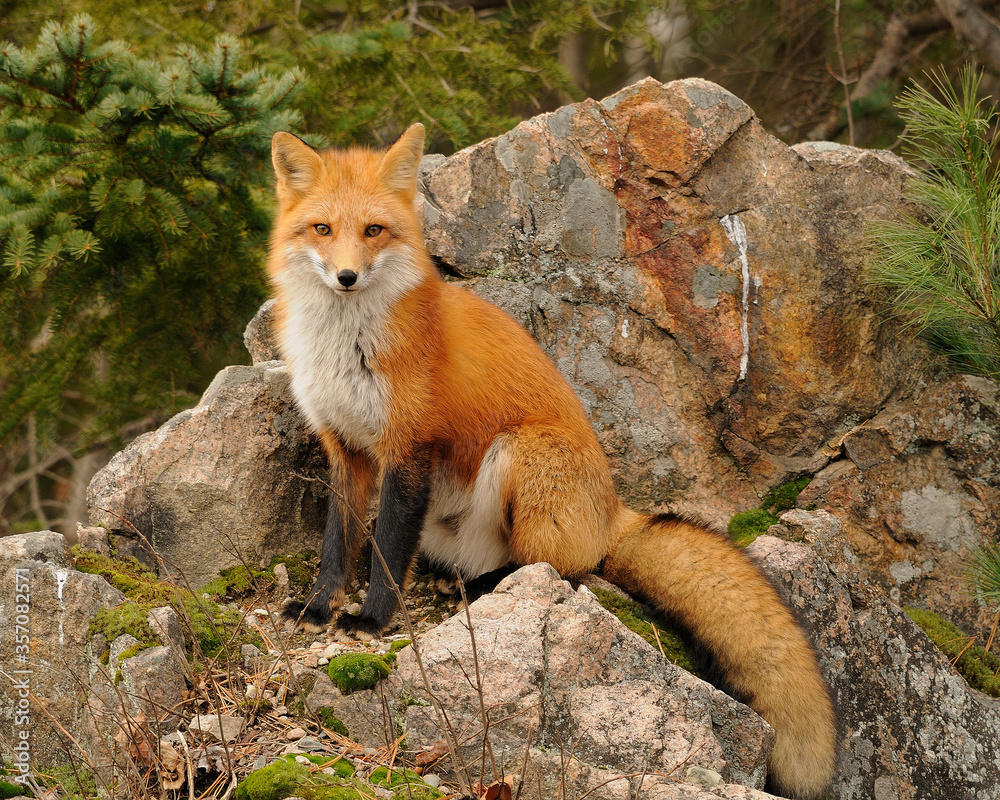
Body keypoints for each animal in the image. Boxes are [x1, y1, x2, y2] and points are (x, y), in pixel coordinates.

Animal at [267, 123, 836, 799]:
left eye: (374, 230)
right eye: (323, 229)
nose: (348, 276)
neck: (345, 344)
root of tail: (614, 510)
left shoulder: (409, 448)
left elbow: (386, 549)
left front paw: (373, 620)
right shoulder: (345, 448)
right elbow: (338, 542)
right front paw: (318, 607)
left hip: (520, 453)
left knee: (554, 568)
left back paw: (486, 589)